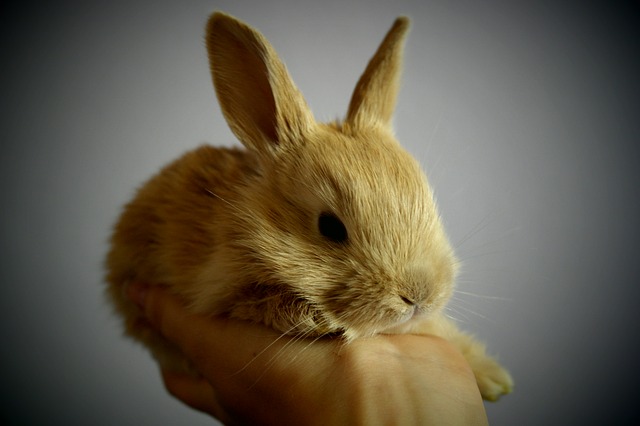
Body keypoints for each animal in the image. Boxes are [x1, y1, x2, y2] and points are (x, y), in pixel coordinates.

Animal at [105, 11, 513, 401]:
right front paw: (315, 321)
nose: (419, 296)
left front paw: (493, 378)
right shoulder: (222, 289)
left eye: (429, 203)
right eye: (330, 228)